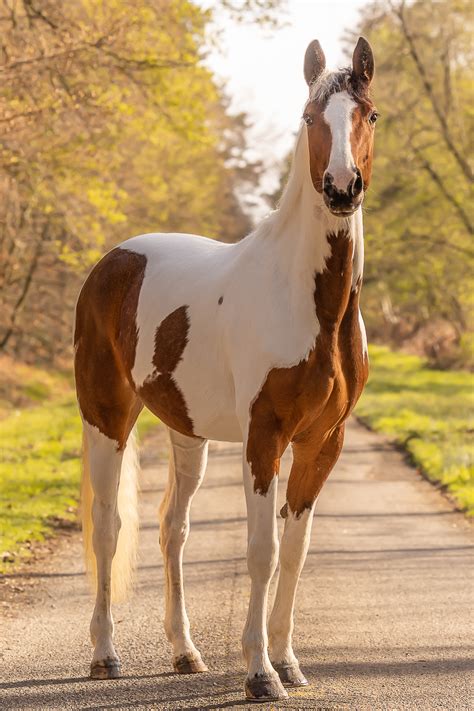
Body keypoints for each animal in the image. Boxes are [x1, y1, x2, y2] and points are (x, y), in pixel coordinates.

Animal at [74, 37, 377, 702]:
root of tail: (113, 261)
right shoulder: (264, 436)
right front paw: (260, 673)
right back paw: (105, 655)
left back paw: (185, 652)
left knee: (173, 530)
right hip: (107, 418)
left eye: (369, 115)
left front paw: (288, 662)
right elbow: (262, 549)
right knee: (108, 527)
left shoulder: (323, 442)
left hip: (188, 434)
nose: (341, 188)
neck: (308, 301)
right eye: (309, 119)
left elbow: (295, 550)